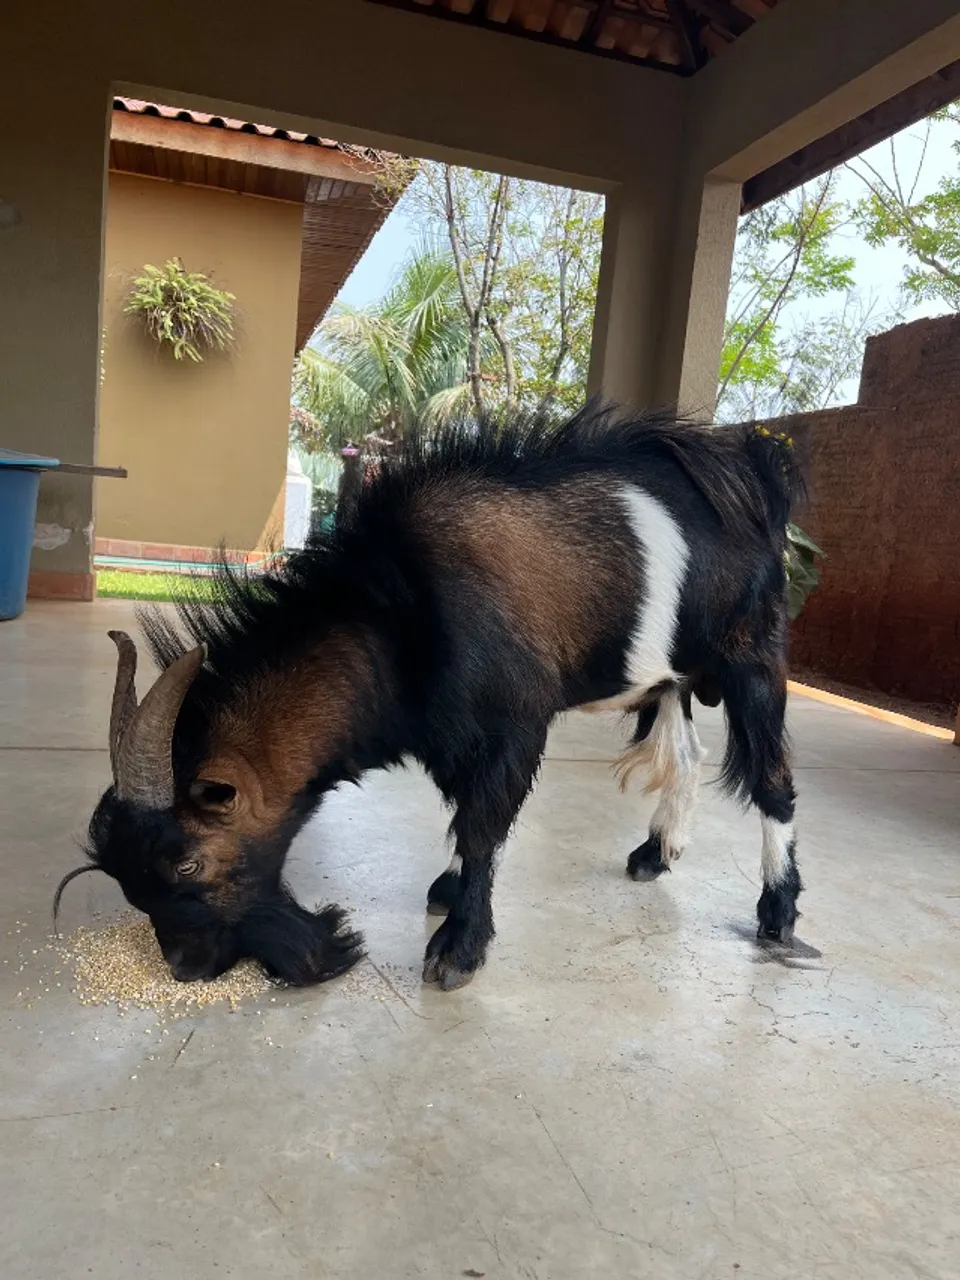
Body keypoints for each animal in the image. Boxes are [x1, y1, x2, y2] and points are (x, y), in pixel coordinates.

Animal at [62, 404, 804, 990]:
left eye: (187, 860)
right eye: (126, 881)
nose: (187, 967)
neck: (395, 611)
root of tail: (755, 477)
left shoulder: (514, 725)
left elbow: (482, 825)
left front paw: (458, 949)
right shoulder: (453, 736)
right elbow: (464, 815)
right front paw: (449, 892)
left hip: (751, 656)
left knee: (772, 781)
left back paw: (778, 913)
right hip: (670, 675)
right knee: (686, 753)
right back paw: (658, 851)